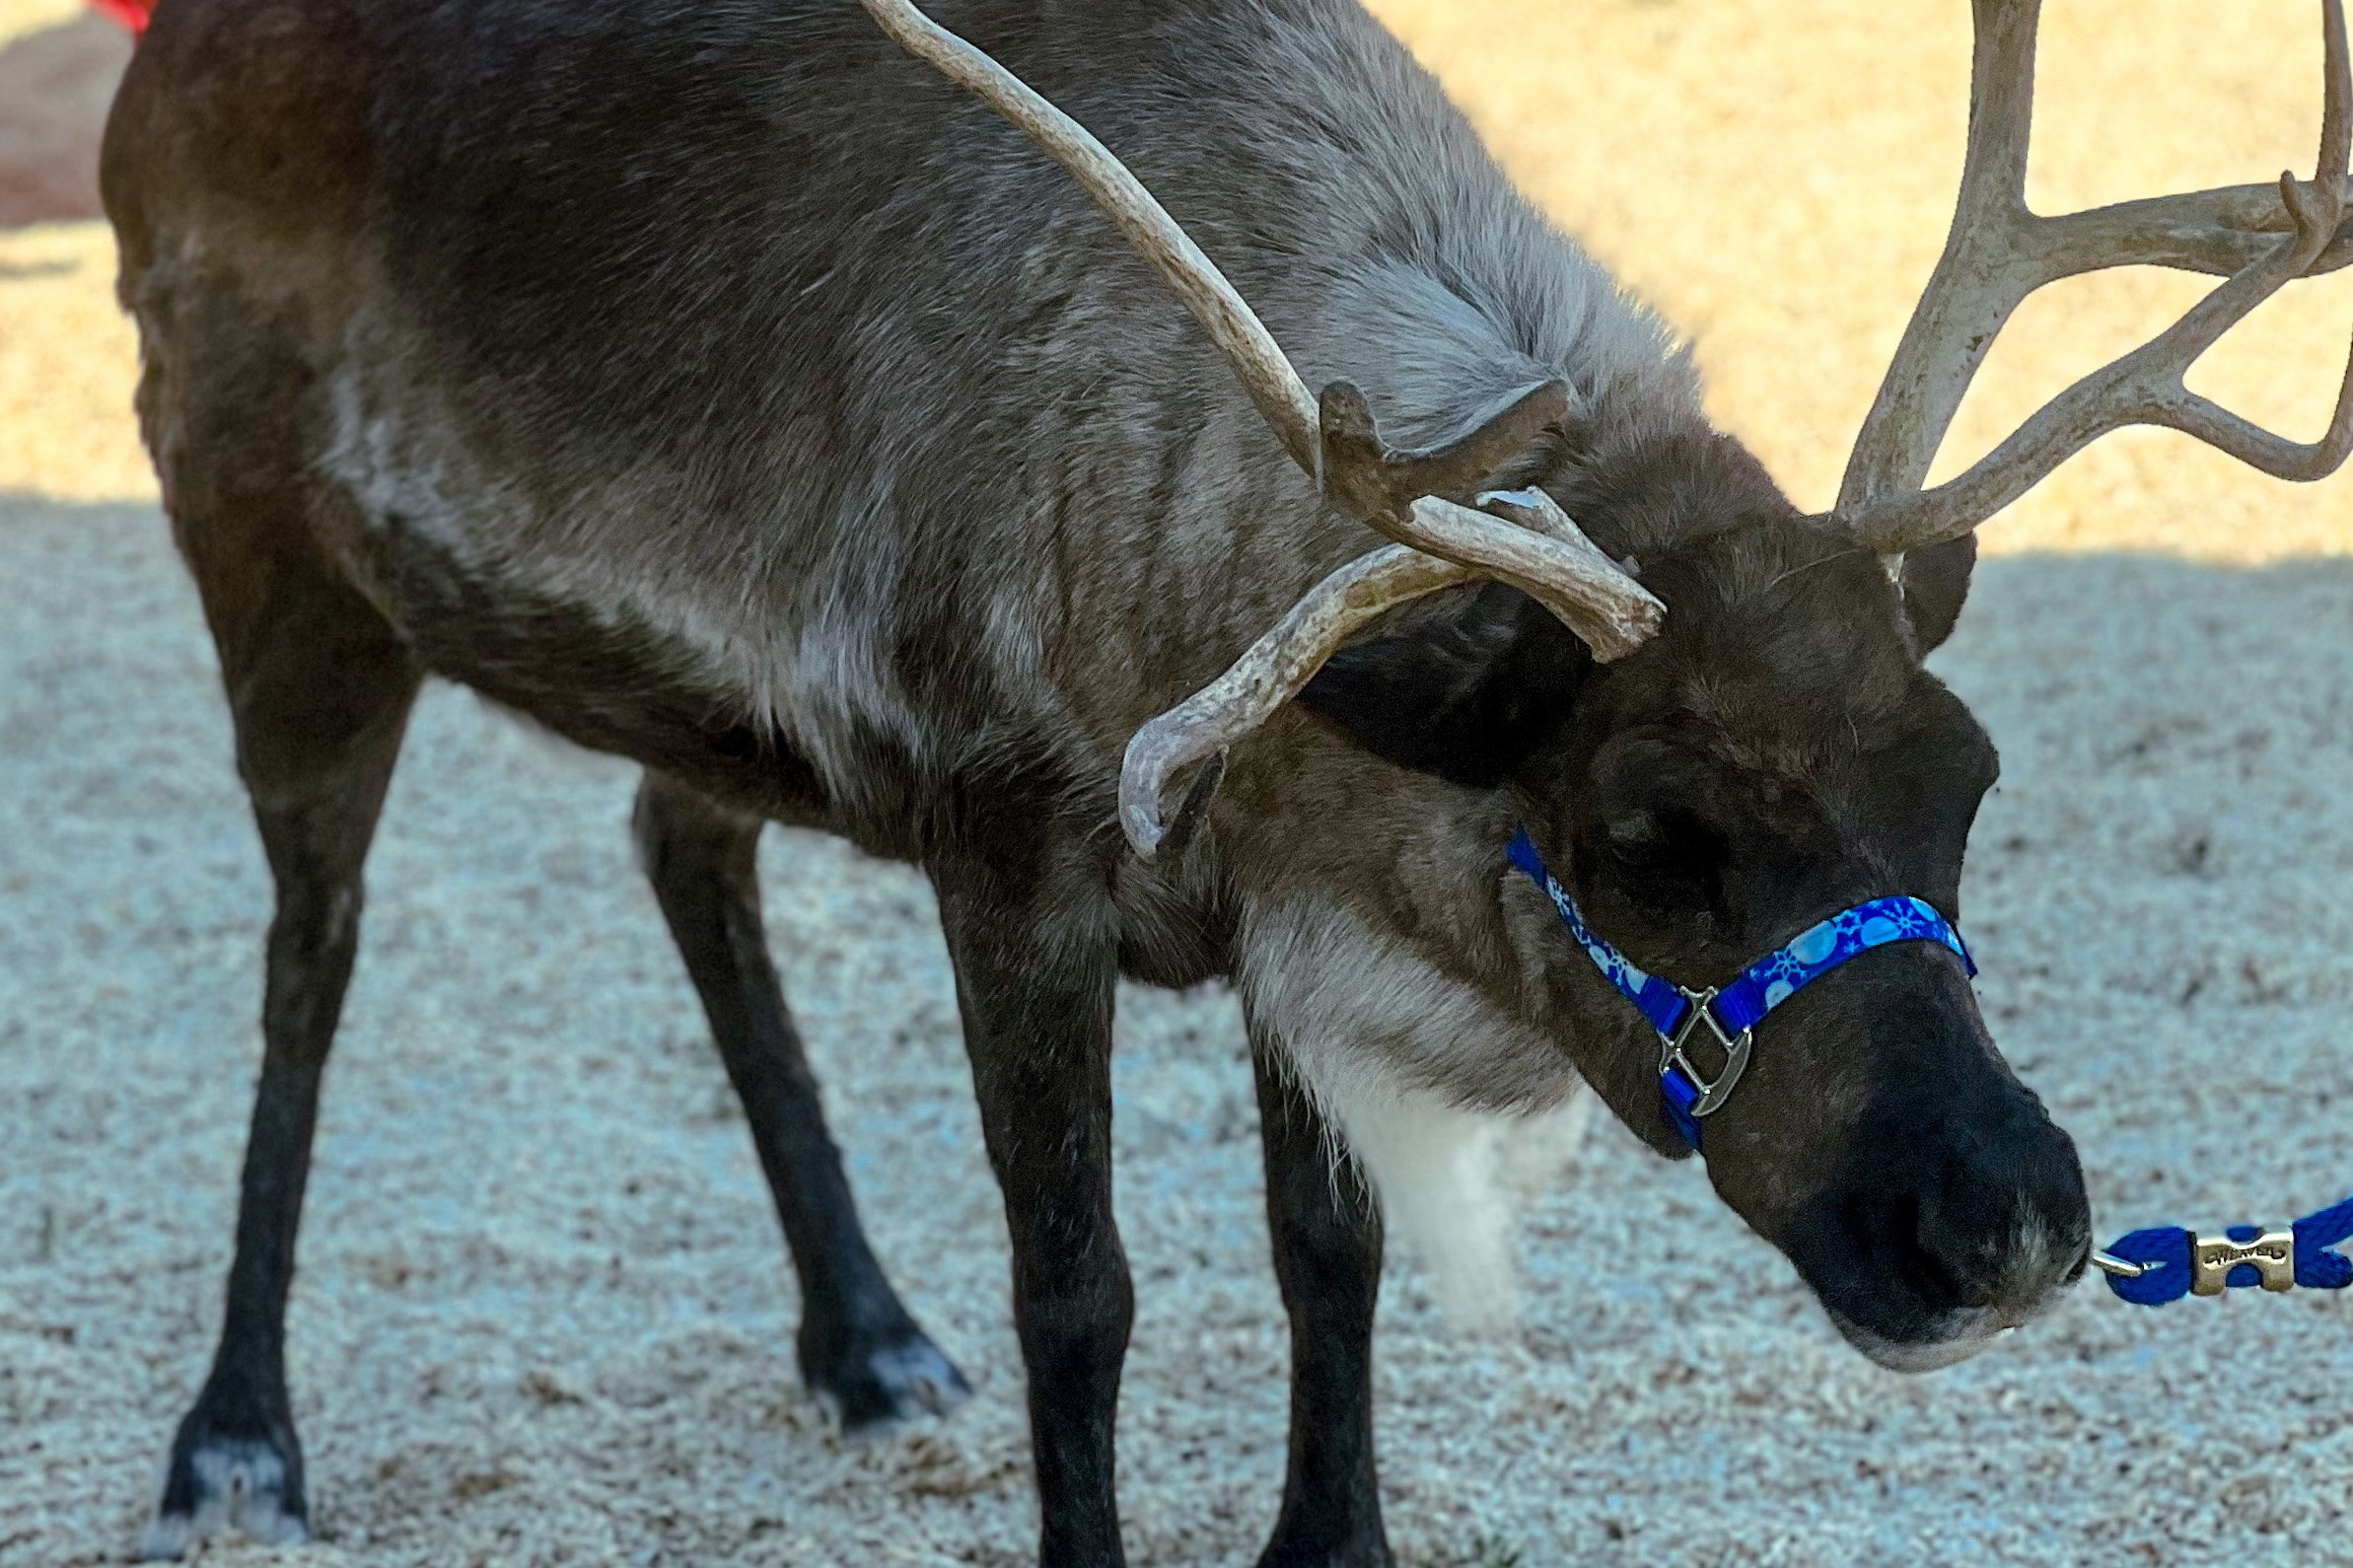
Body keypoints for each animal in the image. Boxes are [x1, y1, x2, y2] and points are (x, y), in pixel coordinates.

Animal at [101, 0, 2353, 1561]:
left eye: (1965, 782)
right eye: (1650, 838)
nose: (2006, 1225)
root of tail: (157, 69)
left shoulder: (1289, 894)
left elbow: (1323, 1258)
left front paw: (1328, 1536)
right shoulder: (1009, 857)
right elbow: (1076, 1293)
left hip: (702, 706)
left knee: (683, 852)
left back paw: (860, 1334)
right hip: (259, 542)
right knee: (311, 951)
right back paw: (238, 1435)